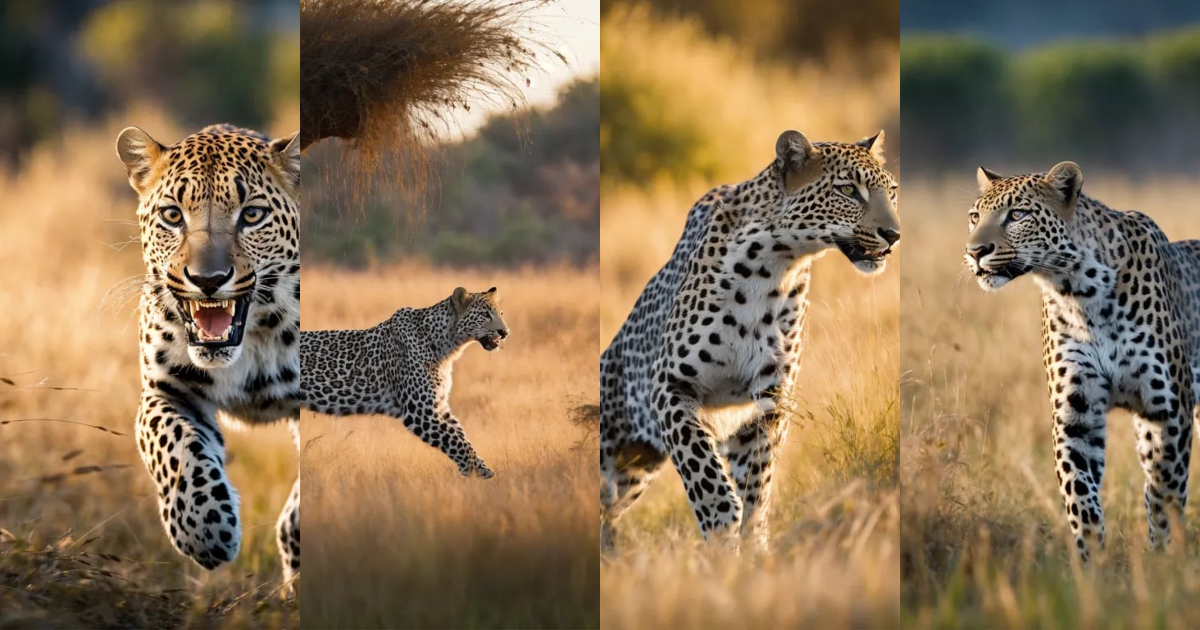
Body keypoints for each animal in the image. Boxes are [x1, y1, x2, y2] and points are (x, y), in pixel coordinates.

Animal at [115, 123, 302, 593]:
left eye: (251, 216)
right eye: (172, 215)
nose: (208, 280)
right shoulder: (166, 391)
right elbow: (174, 447)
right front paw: (205, 529)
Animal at [299, 287, 509, 478]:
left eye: (501, 313)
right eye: (485, 314)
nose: (505, 332)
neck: (447, 347)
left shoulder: (440, 406)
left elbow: (461, 436)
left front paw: (479, 466)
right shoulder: (421, 412)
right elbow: (456, 442)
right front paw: (474, 470)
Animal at [600, 130, 899, 552]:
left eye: (892, 192)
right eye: (847, 190)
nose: (894, 234)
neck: (773, 267)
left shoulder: (770, 400)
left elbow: (759, 484)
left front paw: (752, 546)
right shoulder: (670, 386)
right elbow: (705, 474)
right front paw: (721, 530)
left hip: (635, 467)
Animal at [965, 161, 1200, 563]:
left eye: (1017, 215)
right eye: (974, 217)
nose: (974, 251)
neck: (1080, 291)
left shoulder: (1169, 409)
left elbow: (1165, 490)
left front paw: (1165, 559)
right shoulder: (1077, 412)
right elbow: (1079, 490)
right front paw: (1092, 562)